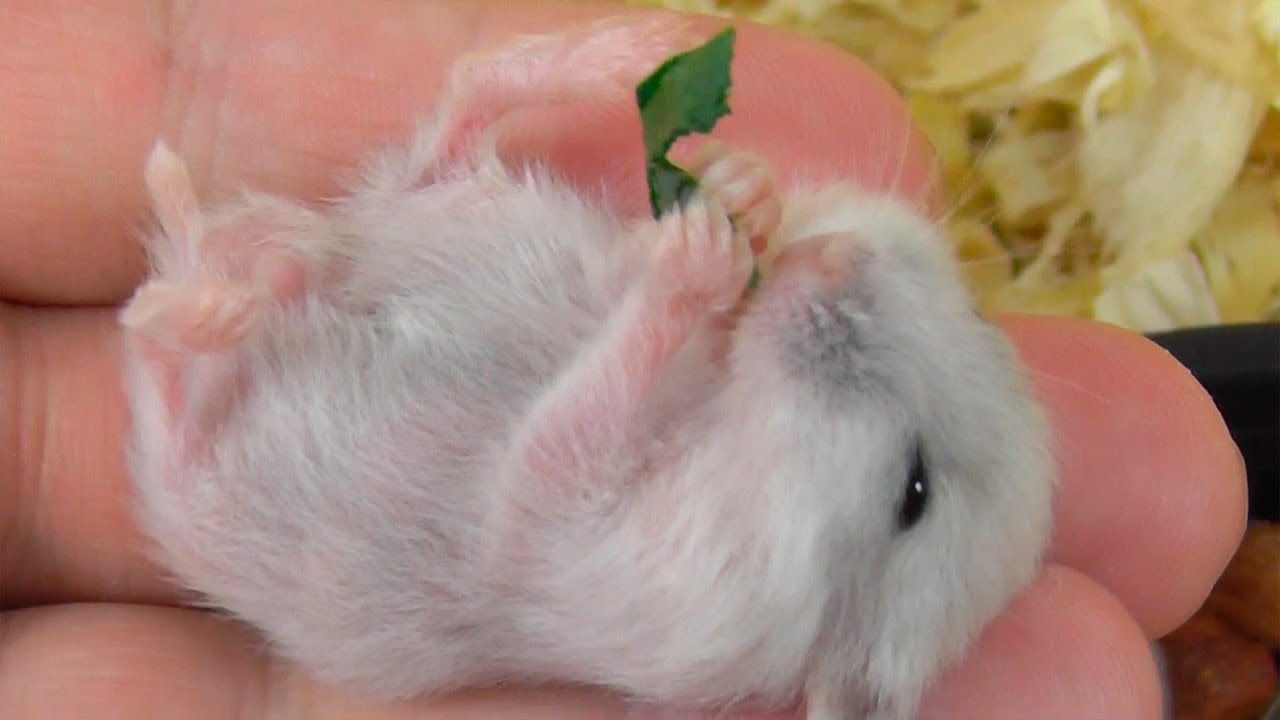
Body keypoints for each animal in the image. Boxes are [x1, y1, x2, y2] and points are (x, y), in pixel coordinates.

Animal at [118, 16, 1056, 720]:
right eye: (983, 318)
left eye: (914, 492)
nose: (832, 257)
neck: (724, 412)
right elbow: (636, 287)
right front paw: (738, 197)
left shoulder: (567, 534)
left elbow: (576, 413)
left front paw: (702, 250)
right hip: (450, 205)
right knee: (463, 112)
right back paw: (631, 47)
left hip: (203, 488)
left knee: (161, 367)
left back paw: (213, 290)